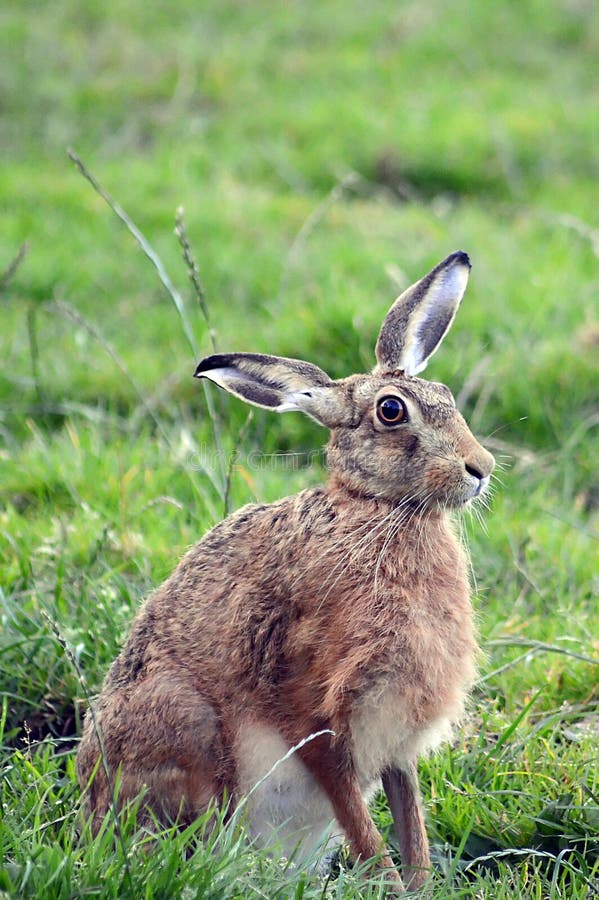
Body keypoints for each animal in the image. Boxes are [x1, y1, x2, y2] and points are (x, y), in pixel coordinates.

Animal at [76, 250, 494, 892]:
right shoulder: (314, 713)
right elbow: (365, 831)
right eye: (391, 411)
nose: (482, 468)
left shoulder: (397, 736)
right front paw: (388, 886)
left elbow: (411, 824)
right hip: (188, 729)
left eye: (446, 394)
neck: (379, 510)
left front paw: (420, 887)